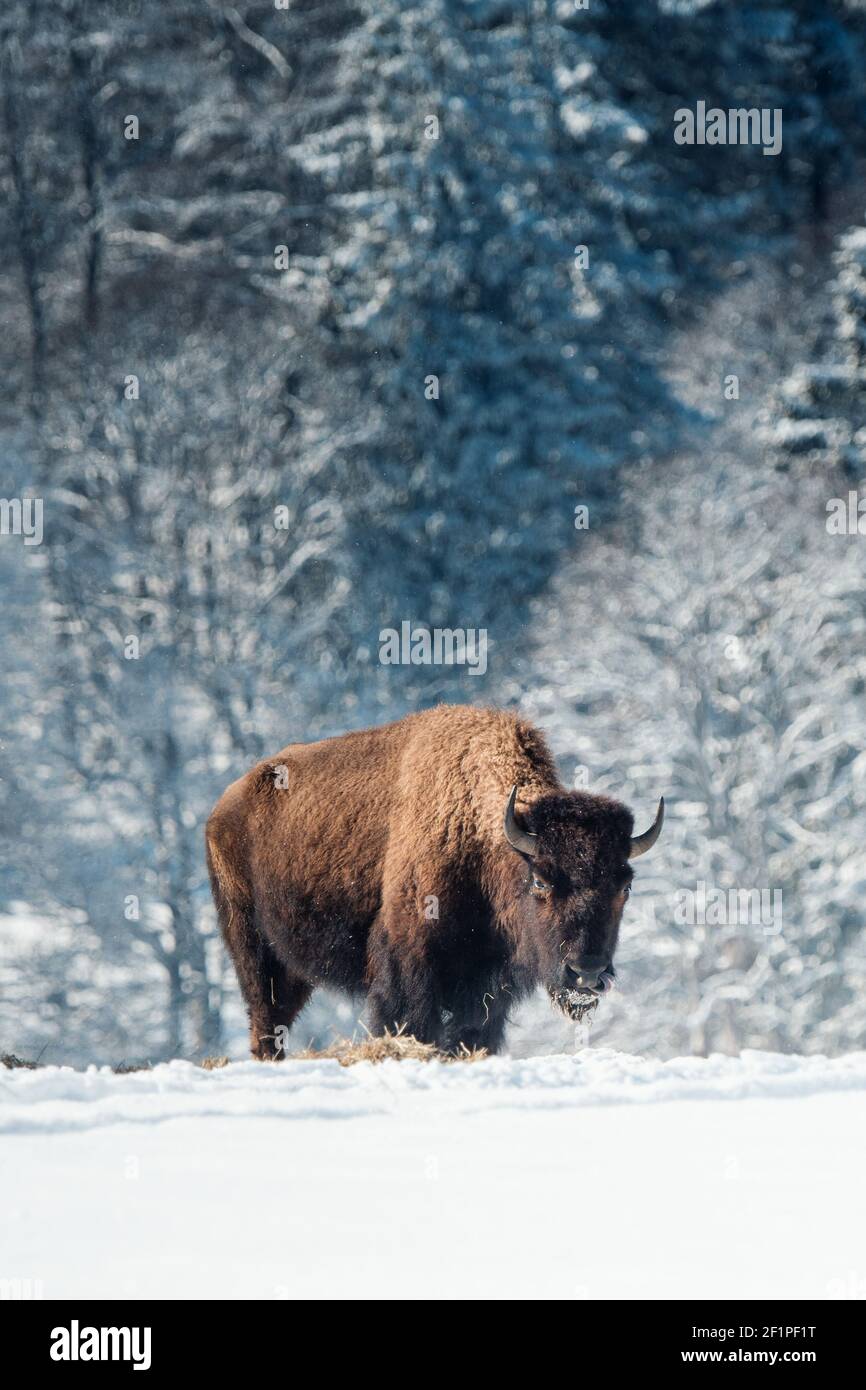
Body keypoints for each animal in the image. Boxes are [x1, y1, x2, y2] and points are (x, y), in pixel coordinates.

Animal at [206, 704, 663, 1057]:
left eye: (625, 887)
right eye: (541, 882)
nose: (586, 973)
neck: (480, 834)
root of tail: (223, 807)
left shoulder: (487, 989)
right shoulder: (406, 970)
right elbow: (413, 1025)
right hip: (253, 950)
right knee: (266, 1020)